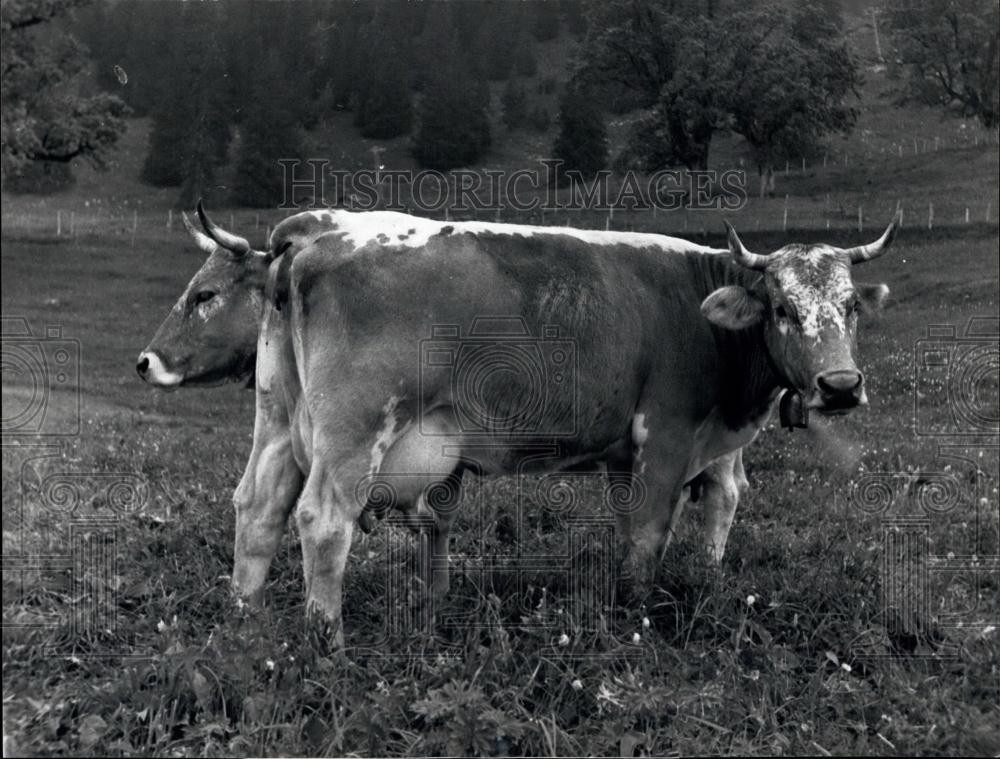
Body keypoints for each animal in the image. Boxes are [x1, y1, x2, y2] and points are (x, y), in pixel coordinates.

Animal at [138, 205, 896, 643]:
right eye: (783, 309)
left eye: (850, 306)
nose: (840, 386)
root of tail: (315, 236)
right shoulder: (666, 435)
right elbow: (650, 532)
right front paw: (637, 615)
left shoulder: (655, 450)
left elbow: (680, 513)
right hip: (353, 431)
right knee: (322, 520)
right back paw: (326, 642)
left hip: (278, 423)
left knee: (259, 508)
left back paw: (246, 621)